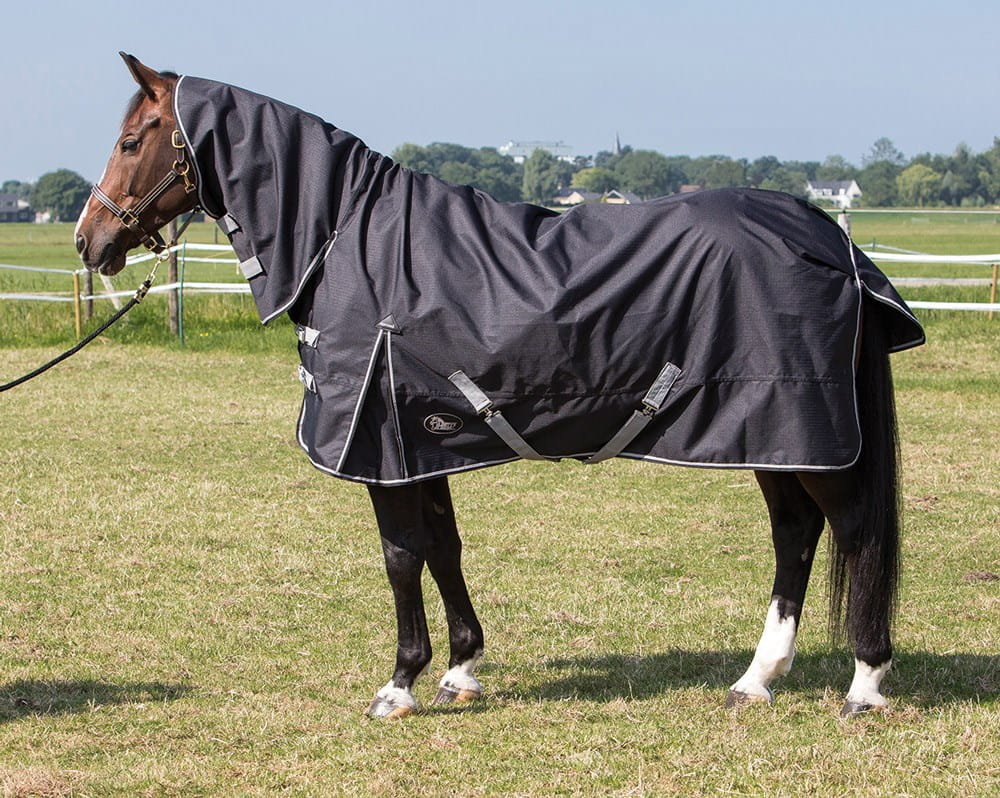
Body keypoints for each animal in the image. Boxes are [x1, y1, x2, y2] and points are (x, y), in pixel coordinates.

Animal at [75, 54, 924, 719]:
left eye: (129, 141)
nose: (90, 240)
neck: (347, 238)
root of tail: (832, 239)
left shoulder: (381, 448)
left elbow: (400, 556)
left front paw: (399, 684)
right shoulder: (422, 443)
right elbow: (444, 548)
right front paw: (460, 670)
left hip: (805, 431)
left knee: (852, 530)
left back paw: (865, 683)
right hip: (773, 436)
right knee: (795, 534)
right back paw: (756, 679)